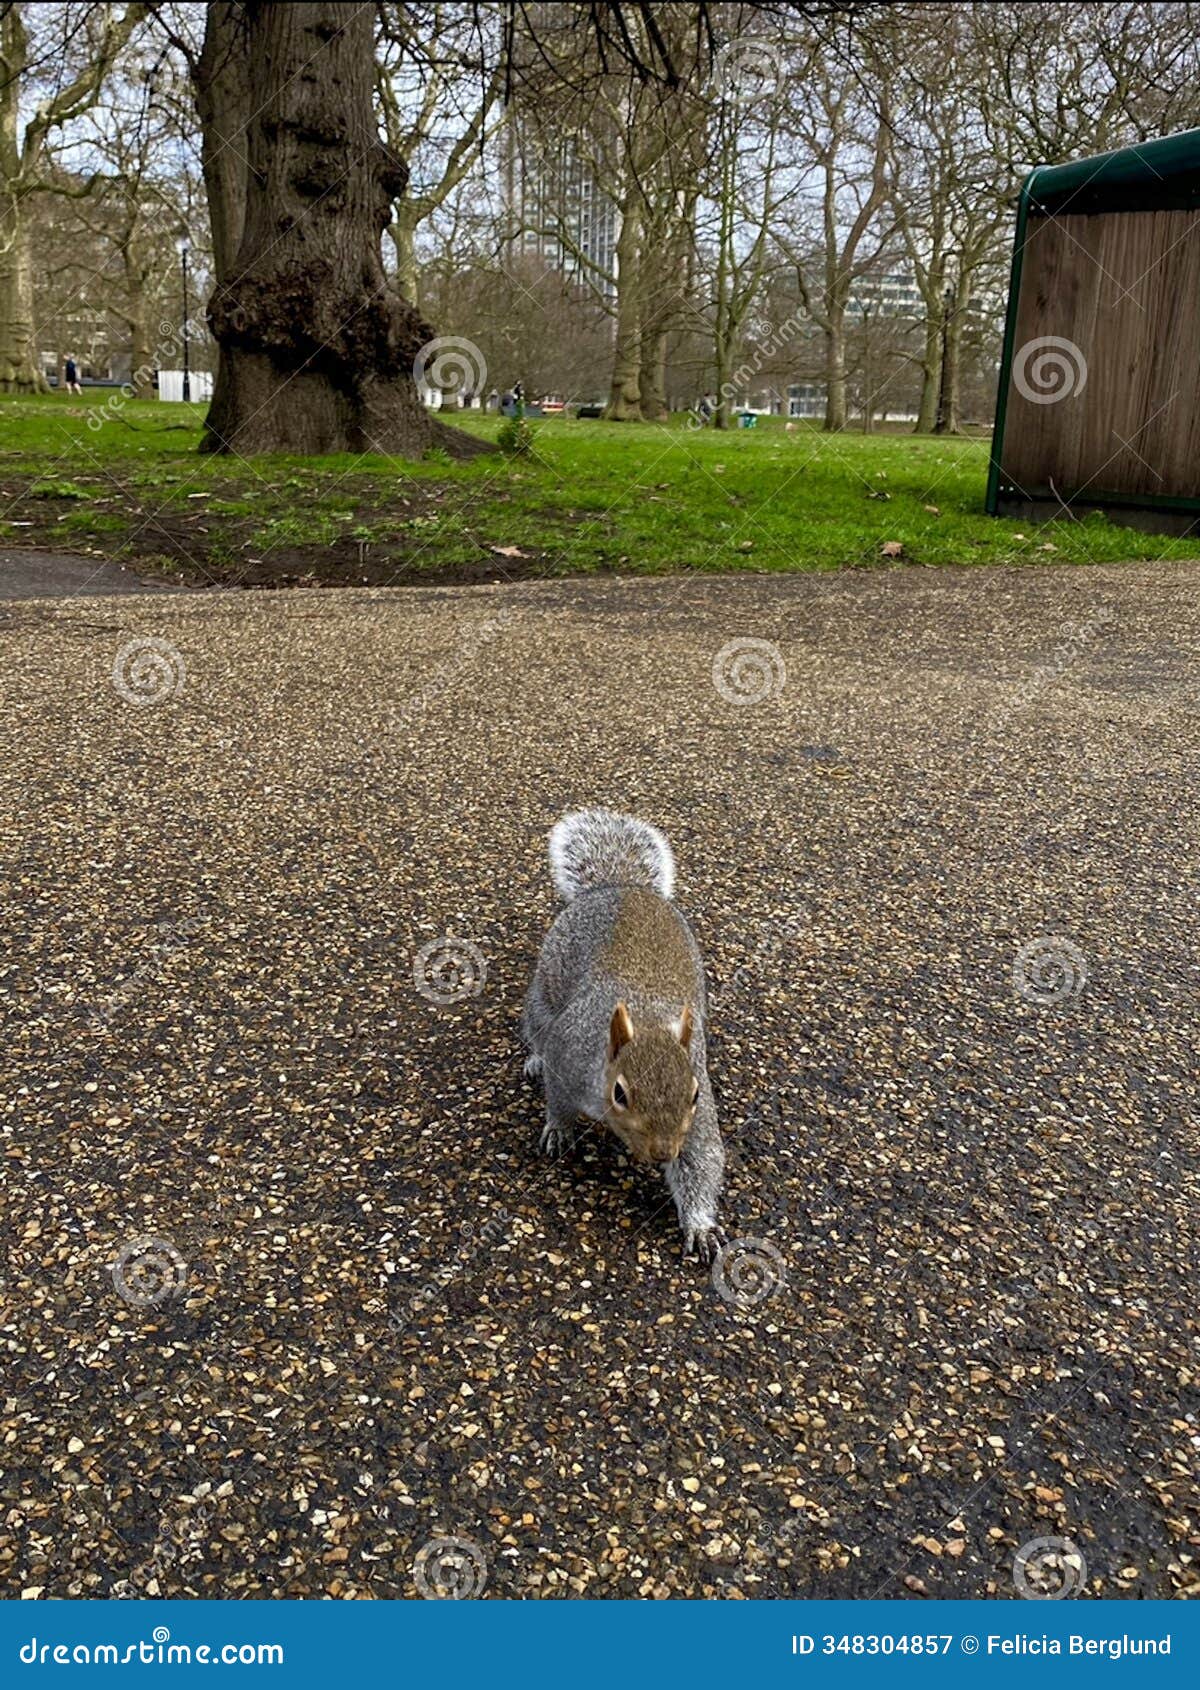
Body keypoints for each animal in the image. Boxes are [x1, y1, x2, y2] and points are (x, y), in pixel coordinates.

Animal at [521, 808, 727, 1265]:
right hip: (546, 987)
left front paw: (701, 1228)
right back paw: (533, 1058)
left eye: (693, 1095)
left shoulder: (696, 1112)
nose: (663, 1152)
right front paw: (558, 1130)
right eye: (620, 1092)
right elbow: (558, 1101)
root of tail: (621, 885)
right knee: (537, 1026)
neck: (648, 1021)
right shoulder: (569, 1056)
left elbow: (701, 1160)